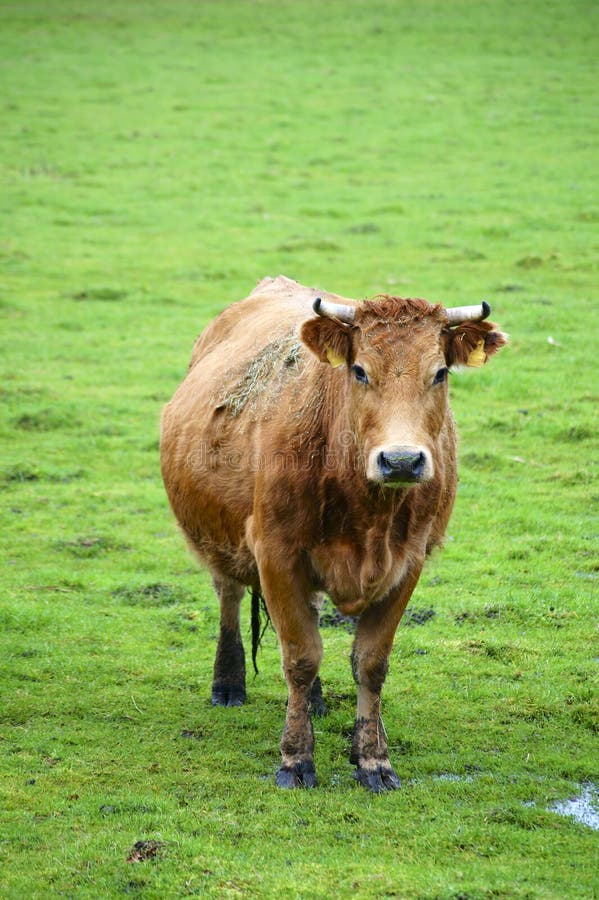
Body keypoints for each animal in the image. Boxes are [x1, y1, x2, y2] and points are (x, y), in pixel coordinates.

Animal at [160, 275, 507, 792]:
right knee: (230, 596)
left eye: (440, 373)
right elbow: (300, 657)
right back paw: (228, 682)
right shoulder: (276, 554)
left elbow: (370, 662)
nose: (401, 461)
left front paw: (373, 759)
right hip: (217, 536)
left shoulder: (409, 562)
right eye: (360, 371)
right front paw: (296, 759)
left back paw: (318, 702)